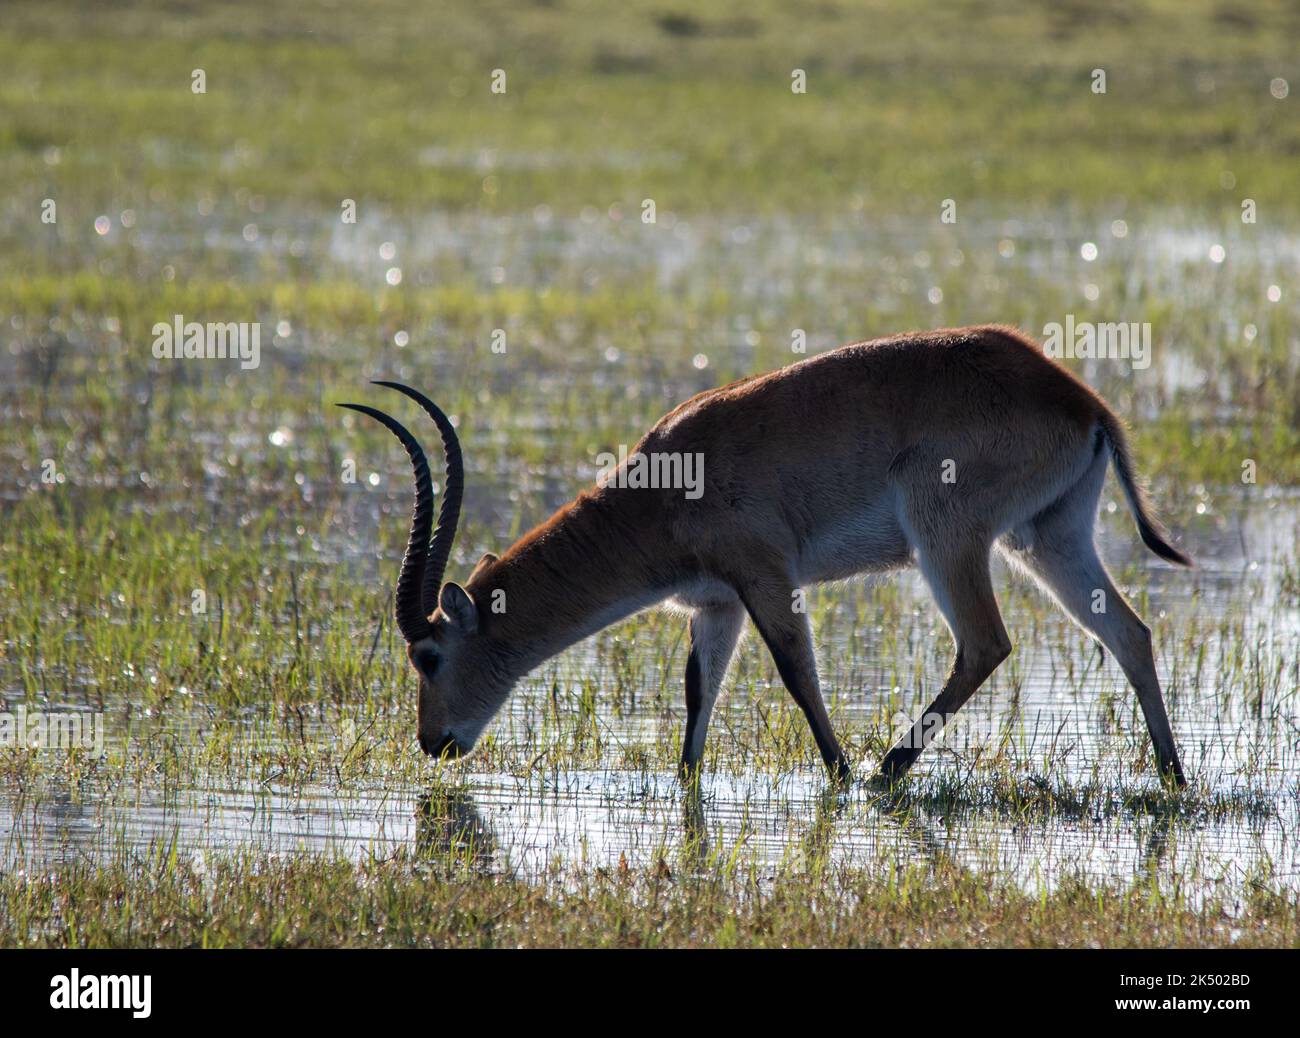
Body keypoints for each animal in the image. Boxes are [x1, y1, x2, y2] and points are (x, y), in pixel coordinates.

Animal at [340, 325, 1190, 786]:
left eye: (426, 654)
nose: (432, 743)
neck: (663, 483)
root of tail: (1078, 396)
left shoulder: (765, 575)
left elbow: (794, 670)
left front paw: (840, 773)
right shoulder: (716, 602)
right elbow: (698, 693)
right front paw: (687, 782)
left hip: (948, 537)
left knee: (986, 642)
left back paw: (886, 769)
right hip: (1047, 536)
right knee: (1130, 632)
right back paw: (1174, 775)